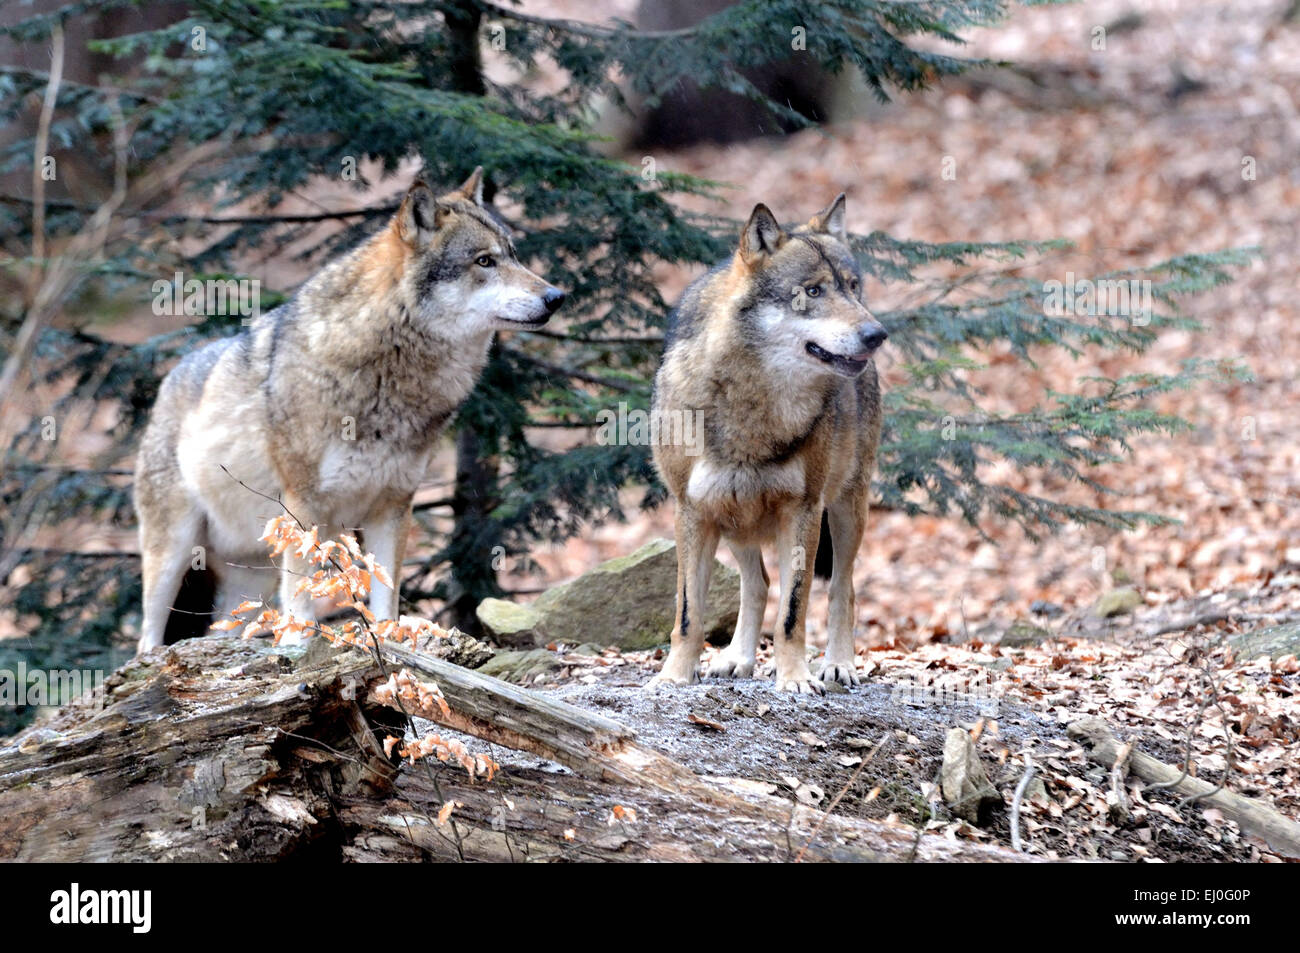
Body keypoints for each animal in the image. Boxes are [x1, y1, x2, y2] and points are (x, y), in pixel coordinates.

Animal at [133, 169, 564, 654]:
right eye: (484, 261)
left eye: (513, 255)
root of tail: (168, 380)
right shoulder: (304, 504)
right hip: (175, 553)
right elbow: (302, 591)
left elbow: (385, 592)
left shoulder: (393, 506)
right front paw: (299, 645)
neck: (387, 373)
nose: (557, 296)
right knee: (146, 638)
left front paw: (390, 640)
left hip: (249, 574)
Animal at [650, 195, 886, 693]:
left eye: (853, 287)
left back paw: (838, 665)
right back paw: (736, 659)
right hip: (735, 516)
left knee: (844, 588)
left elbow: (793, 611)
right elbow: (688, 614)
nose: (877, 334)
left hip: (846, 509)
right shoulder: (691, 509)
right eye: (812, 292)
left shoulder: (803, 509)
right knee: (756, 582)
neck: (753, 403)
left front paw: (795, 677)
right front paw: (674, 675)